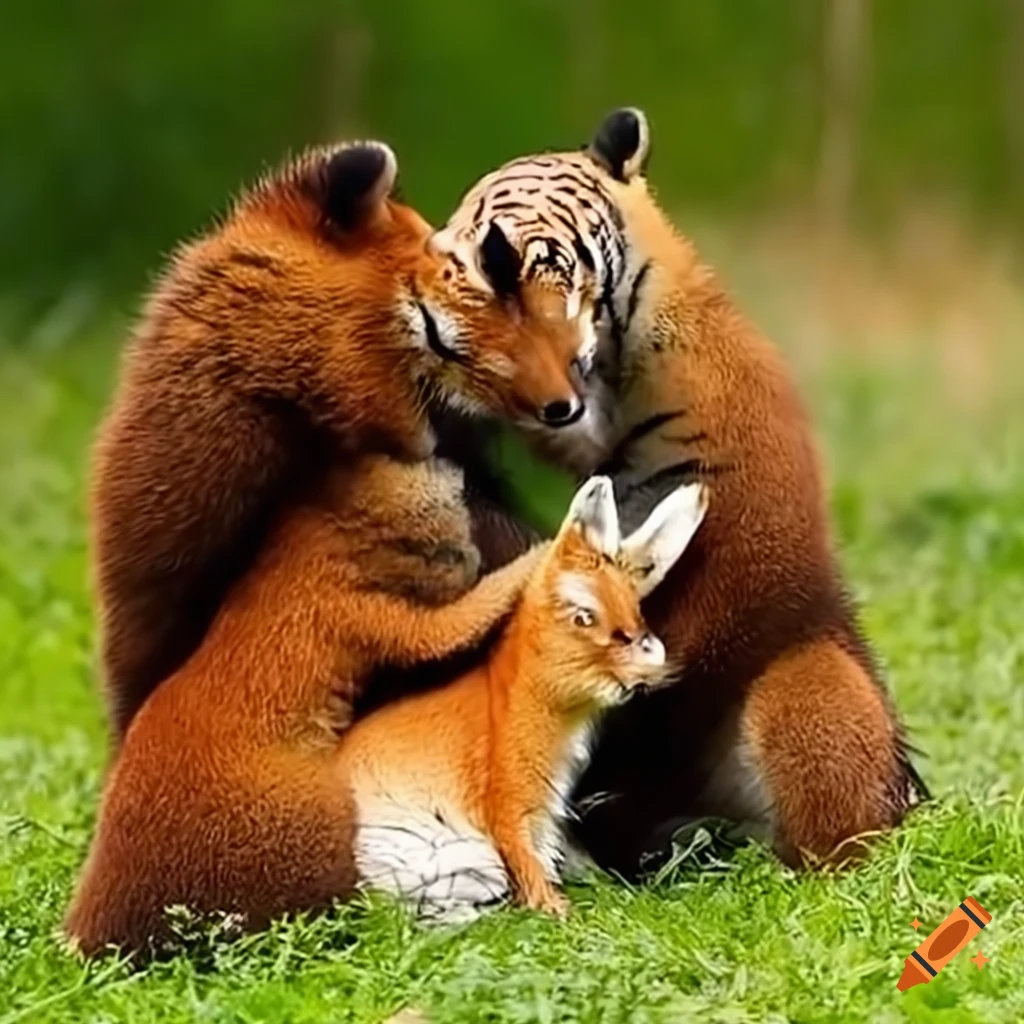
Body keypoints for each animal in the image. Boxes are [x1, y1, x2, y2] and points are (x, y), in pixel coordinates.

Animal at [337, 476, 707, 920]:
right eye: (583, 616)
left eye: (635, 608)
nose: (647, 664)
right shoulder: (512, 799)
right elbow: (526, 856)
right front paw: (558, 910)